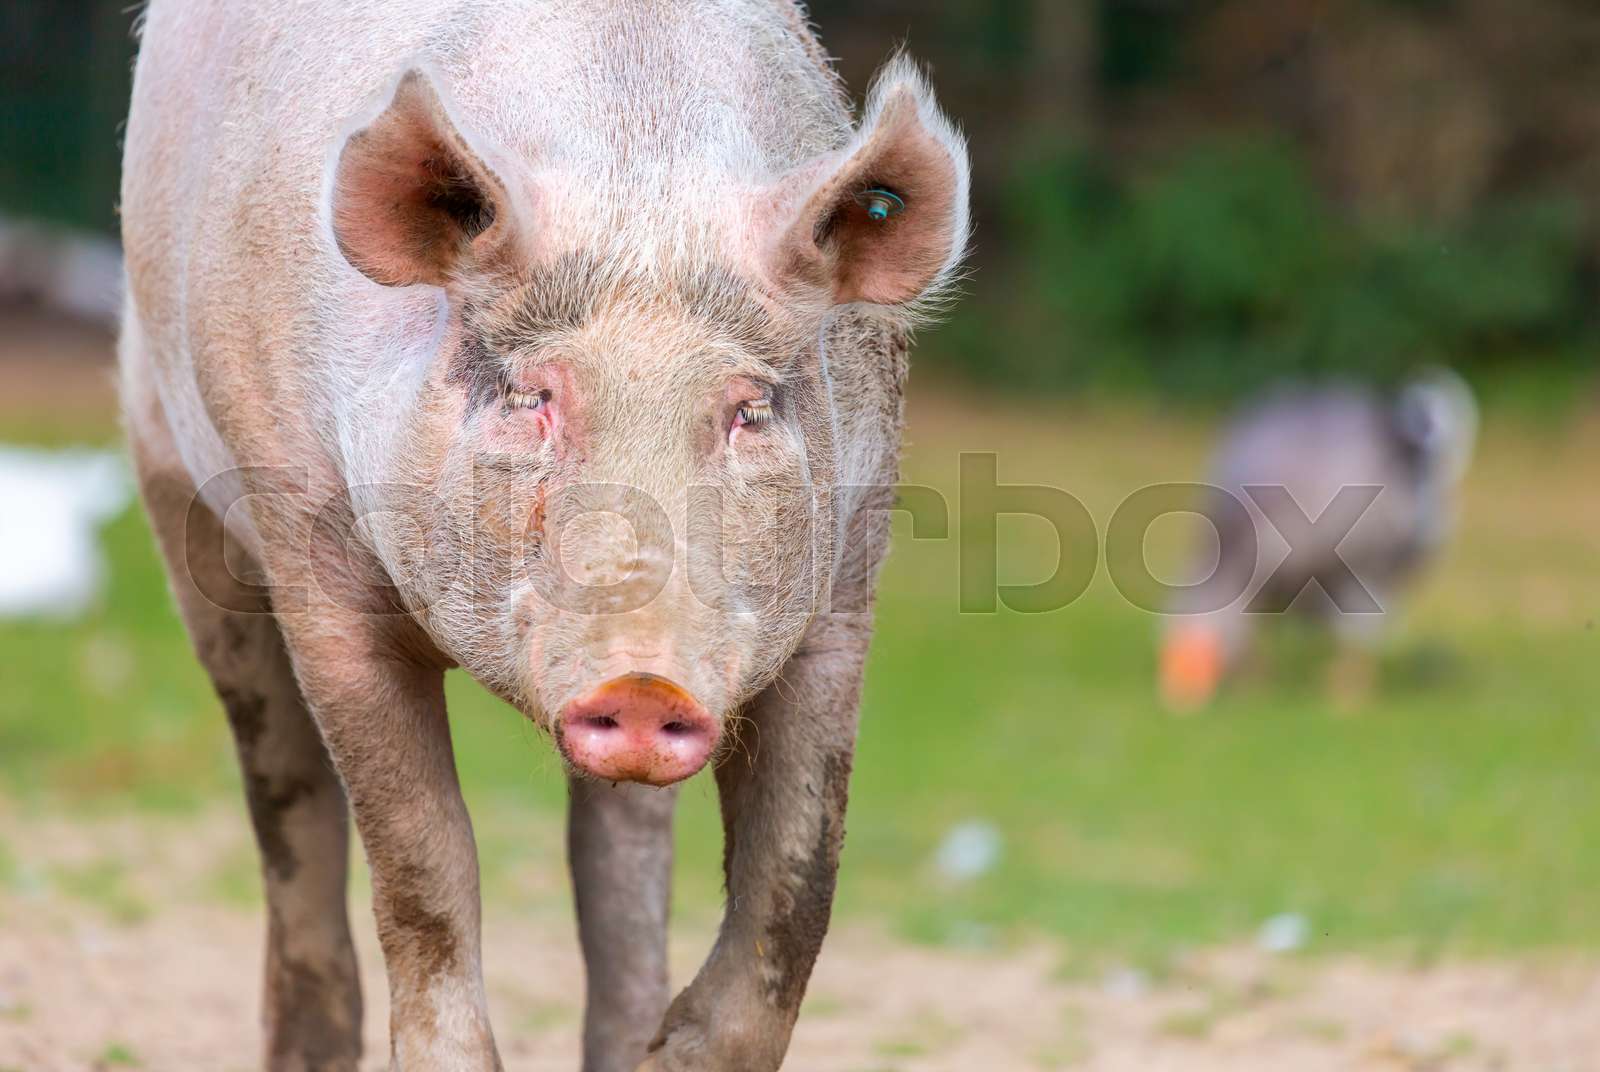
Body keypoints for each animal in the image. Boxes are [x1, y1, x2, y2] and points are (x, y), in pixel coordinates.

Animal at [118, 2, 969, 1070]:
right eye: (533, 397)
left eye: (750, 409)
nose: (644, 681)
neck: (639, 182)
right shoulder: (321, 575)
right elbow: (424, 857)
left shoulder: (845, 586)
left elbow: (798, 879)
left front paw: (672, 1054)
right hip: (172, 479)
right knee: (288, 802)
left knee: (621, 868)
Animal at [1159, 371, 1477, 710]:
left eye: (1197, 651)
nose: (1178, 698)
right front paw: (1255, 683)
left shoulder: (1355, 579)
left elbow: (1357, 633)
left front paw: (1346, 692)